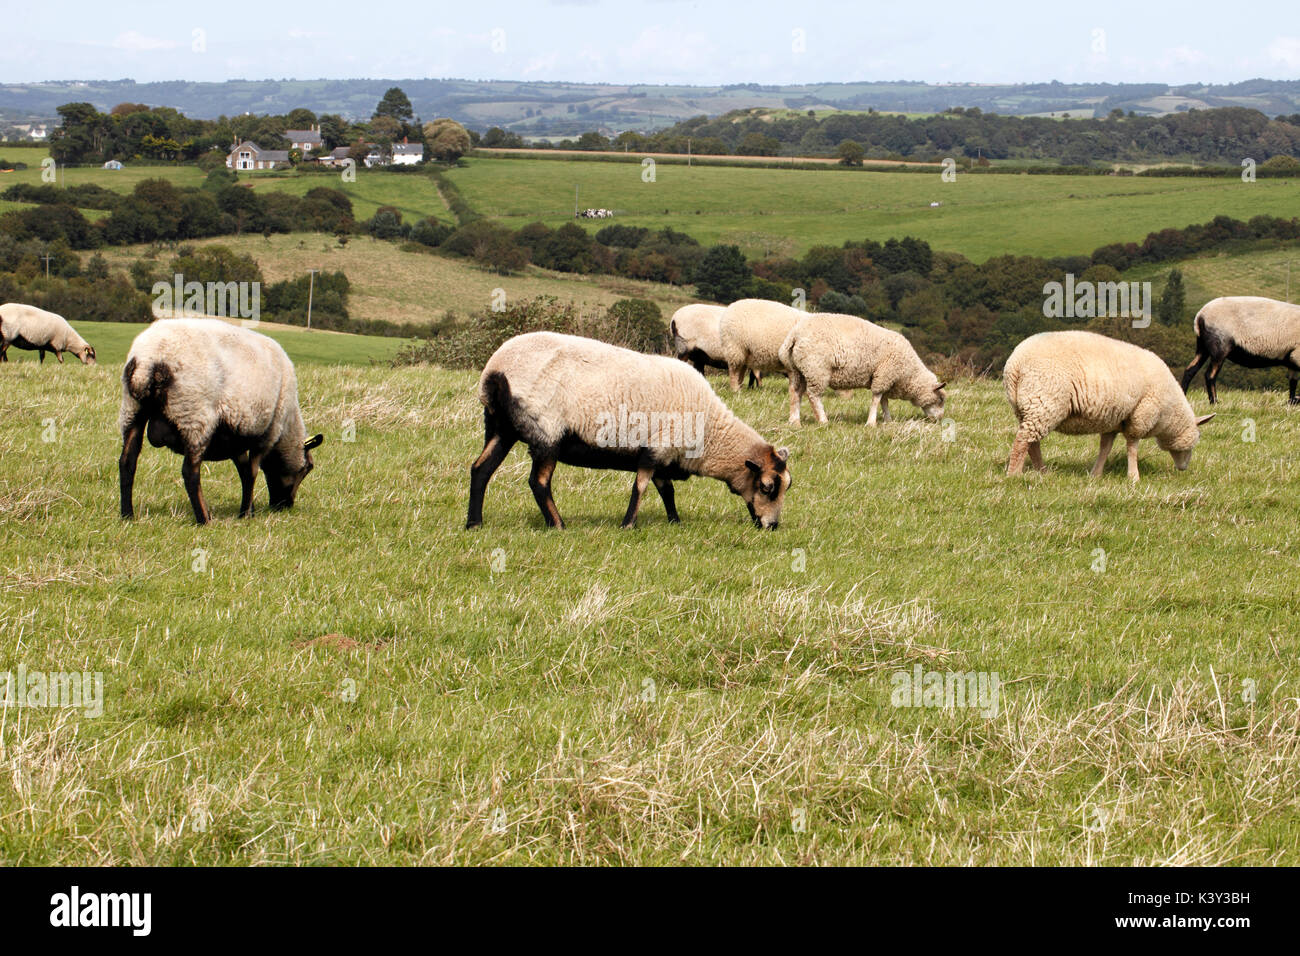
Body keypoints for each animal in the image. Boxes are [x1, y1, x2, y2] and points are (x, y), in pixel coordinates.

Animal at [118, 318, 323, 524]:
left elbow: (244, 472)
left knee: (127, 461)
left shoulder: (236, 438)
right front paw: (246, 514)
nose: (284, 506)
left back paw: (127, 515)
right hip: (194, 416)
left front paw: (249, 510)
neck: (287, 428)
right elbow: (252, 473)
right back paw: (204, 519)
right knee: (190, 472)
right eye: (308, 468)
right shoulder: (266, 435)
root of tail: (147, 360)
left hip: (132, 410)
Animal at [466, 331, 792, 530]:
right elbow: (642, 486)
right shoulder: (656, 449)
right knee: (539, 482)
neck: (710, 433)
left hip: (500, 428)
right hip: (547, 431)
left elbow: (666, 489)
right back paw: (558, 524)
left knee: (480, 469)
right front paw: (628, 524)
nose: (772, 526)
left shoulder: (663, 453)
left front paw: (675, 521)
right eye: (767, 487)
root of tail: (494, 371)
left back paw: (474, 523)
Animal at [779, 312, 945, 426]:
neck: (909, 373)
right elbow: (876, 399)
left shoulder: (883, 377)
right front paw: (871, 423)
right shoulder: (884, 375)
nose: (940, 419)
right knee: (813, 396)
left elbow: (884, 401)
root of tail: (794, 335)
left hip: (797, 370)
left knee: (795, 393)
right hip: (817, 370)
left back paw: (794, 421)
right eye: (940, 400)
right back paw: (823, 420)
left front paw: (888, 420)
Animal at [1005, 330, 1213, 482]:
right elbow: (1132, 447)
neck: (1169, 413)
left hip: (1028, 407)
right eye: (1196, 441)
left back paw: (1041, 472)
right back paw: (1014, 475)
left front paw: (1096, 474)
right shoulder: (1140, 416)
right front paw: (1134, 477)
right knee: (1023, 441)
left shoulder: (1113, 420)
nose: (1183, 468)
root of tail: (1015, 364)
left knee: (1032, 443)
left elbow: (1105, 447)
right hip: (1044, 401)